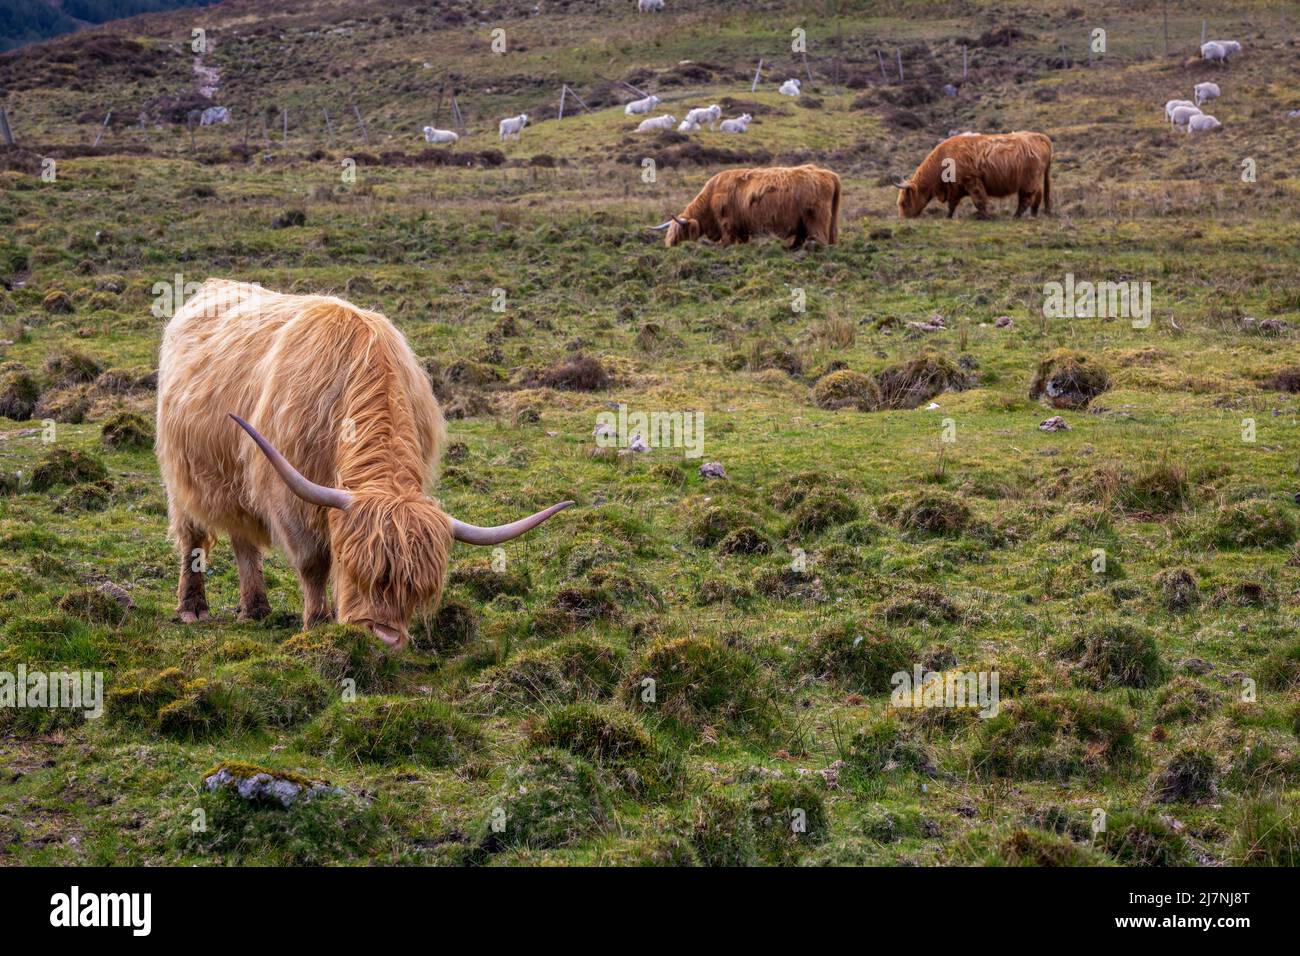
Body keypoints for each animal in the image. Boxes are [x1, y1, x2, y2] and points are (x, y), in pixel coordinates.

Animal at [156, 279, 572, 648]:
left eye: (416, 590)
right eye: (358, 571)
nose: (385, 636)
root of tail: (213, 285)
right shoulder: (287, 497)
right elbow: (313, 563)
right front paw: (317, 624)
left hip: (235, 485)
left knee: (242, 538)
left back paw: (255, 608)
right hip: (183, 476)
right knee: (192, 537)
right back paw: (193, 607)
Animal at [650, 164, 841, 249]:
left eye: (679, 234)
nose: (669, 246)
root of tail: (827, 173)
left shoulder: (727, 225)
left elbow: (726, 241)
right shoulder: (741, 229)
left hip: (815, 220)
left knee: (819, 239)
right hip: (812, 222)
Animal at [893, 131, 1053, 219]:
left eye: (904, 203)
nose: (902, 220)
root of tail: (1039, 136)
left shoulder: (972, 181)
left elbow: (979, 201)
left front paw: (987, 216)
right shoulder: (955, 187)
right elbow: (952, 204)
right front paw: (948, 217)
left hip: (1029, 180)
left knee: (1026, 199)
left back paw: (1016, 216)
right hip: (1034, 180)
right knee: (1037, 196)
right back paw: (1033, 215)